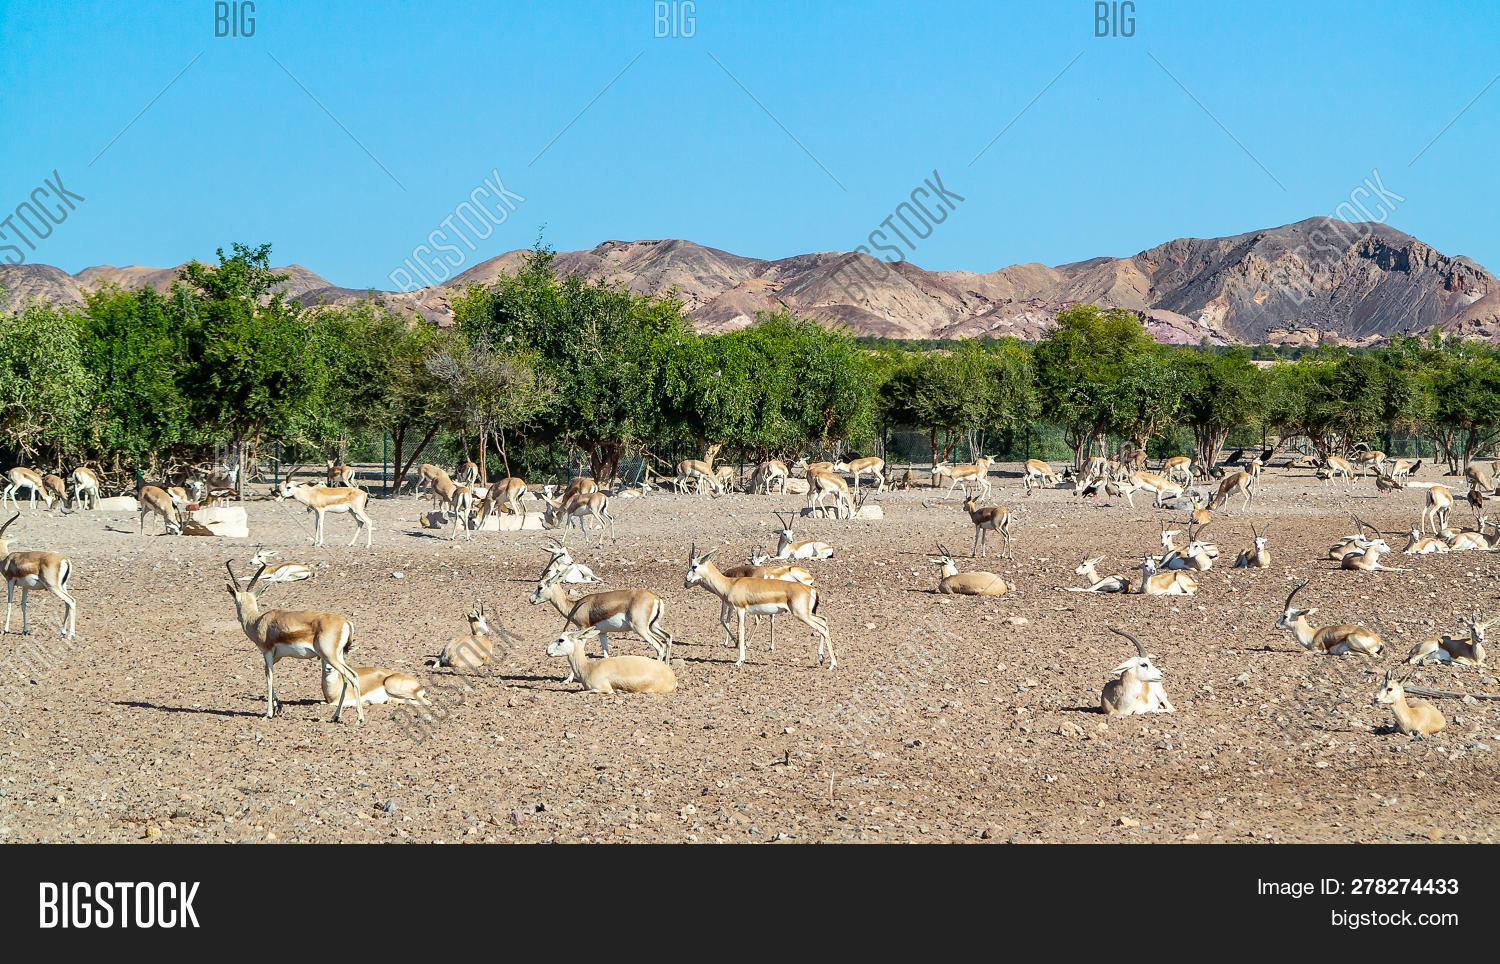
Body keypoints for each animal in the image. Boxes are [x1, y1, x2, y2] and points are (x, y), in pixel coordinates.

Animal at [224, 561, 364, 722]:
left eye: (236, 601)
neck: (258, 621)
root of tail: (346, 622)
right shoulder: (277, 656)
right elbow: (266, 672)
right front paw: (278, 707)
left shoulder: (267, 652)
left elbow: (269, 676)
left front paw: (268, 713)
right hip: (338, 656)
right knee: (346, 678)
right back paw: (335, 716)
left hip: (330, 656)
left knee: (352, 676)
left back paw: (359, 718)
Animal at [528, 566, 674, 675]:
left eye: (540, 587)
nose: (531, 599)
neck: (575, 606)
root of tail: (656, 598)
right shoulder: (602, 633)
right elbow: (606, 654)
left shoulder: (583, 629)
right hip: (653, 626)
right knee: (668, 637)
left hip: (640, 629)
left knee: (659, 646)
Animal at [684, 545, 833, 668]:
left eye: (694, 566)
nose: (686, 582)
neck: (730, 583)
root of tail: (811, 588)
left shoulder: (740, 609)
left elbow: (740, 630)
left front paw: (739, 661)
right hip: (808, 614)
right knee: (824, 621)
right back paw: (821, 658)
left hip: (802, 614)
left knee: (822, 628)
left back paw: (832, 664)